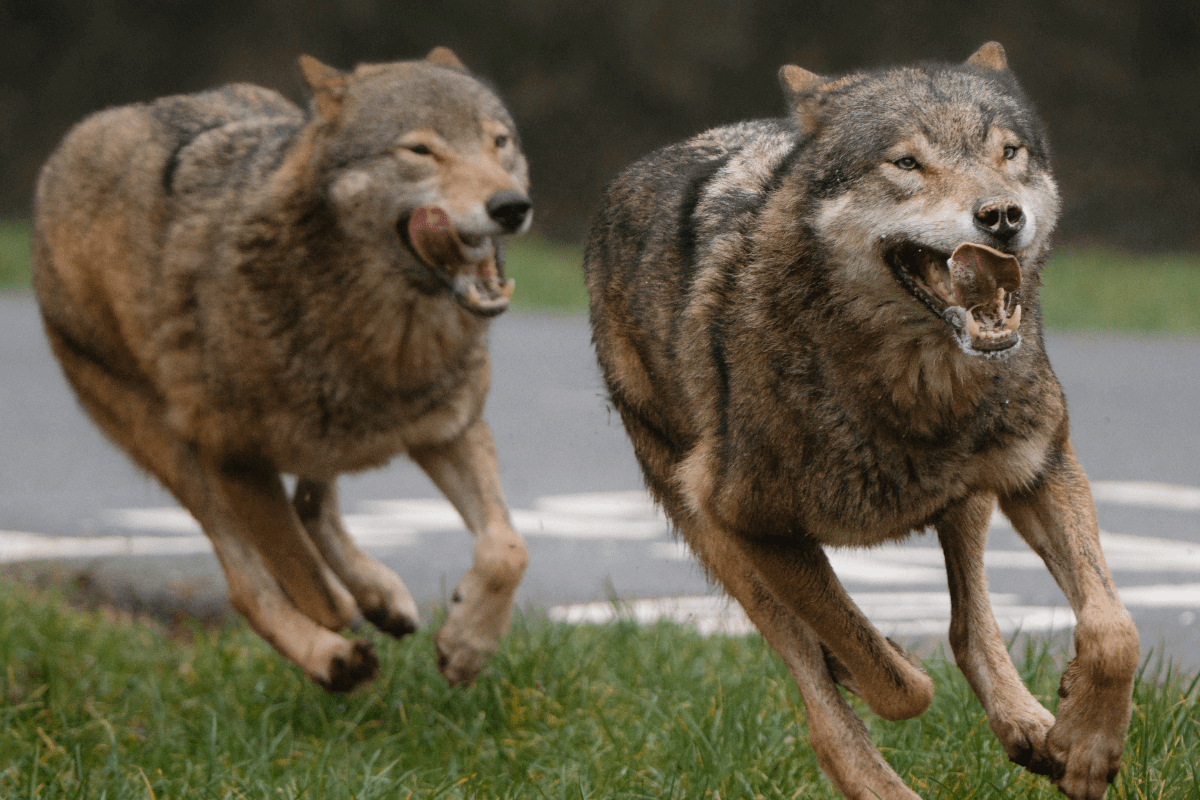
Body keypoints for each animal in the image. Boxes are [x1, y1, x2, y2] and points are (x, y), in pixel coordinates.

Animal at [31, 47, 533, 691]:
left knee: (311, 507)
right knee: (248, 586)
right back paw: (336, 658)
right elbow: (298, 575)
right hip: (176, 452)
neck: (384, 336)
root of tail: (73, 143)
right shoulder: (233, 461)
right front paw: (340, 622)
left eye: (500, 142)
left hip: (319, 444)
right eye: (421, 150)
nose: (511, 207)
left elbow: (507, 549)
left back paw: (380, 598)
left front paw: (466, 645)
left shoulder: (450, 430)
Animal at [584, 42, 1137, 800]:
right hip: (709, 525)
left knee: (967, 626)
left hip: (968, 496)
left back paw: (1029, 724)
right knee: (825, 711)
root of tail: (630, 176)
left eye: (1009, 152)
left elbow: (1115, 632)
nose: (1002, 216)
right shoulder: (751, 524)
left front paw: (1085, 747)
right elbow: (896, 683)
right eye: (906, 163)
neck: (912, 381)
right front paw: (883, 660)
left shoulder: (1041, 468)